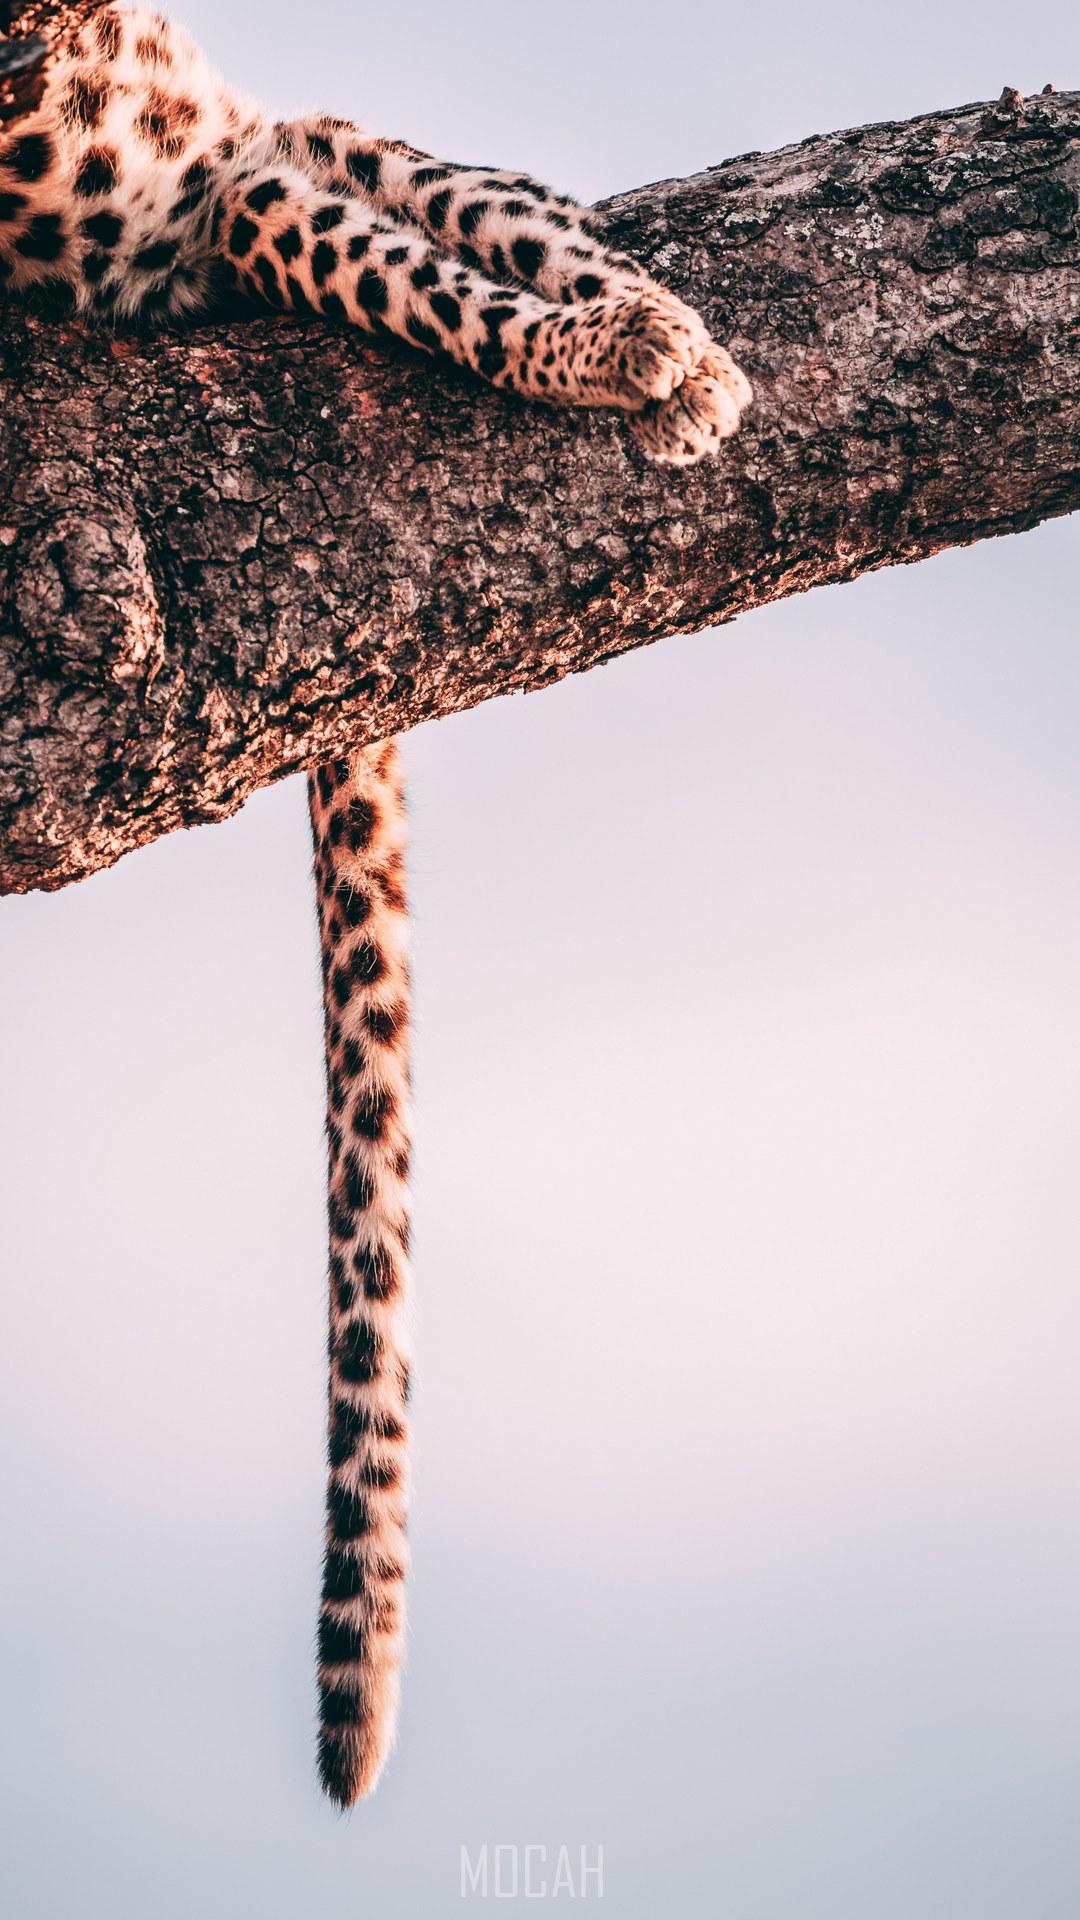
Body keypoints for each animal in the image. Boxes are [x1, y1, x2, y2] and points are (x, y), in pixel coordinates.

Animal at [0, 4, 752, 1808]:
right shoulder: (184, 233)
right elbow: (371, 257)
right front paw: (623, 355)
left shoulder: (256, 132)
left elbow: (470, 202)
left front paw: (656, 329)